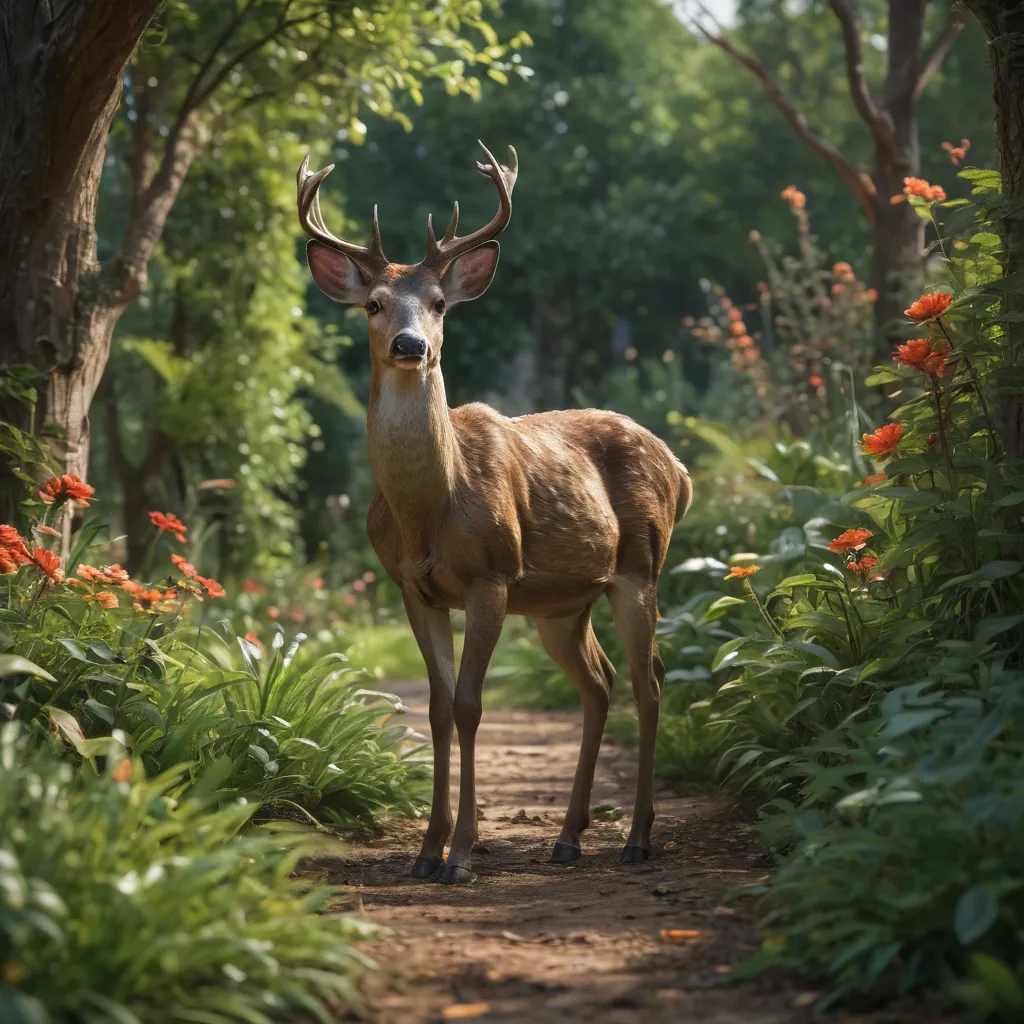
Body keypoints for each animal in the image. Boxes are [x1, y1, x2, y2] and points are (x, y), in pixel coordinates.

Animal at [297, 141, 691, 885]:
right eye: (374, 303)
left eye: (439, 303)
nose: (411, 346)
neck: (430, 512)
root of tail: (680, 470)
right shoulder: (412, 588)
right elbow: (434, 709)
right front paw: (425, 850)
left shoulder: (493, 576)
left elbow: (470, 705)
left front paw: (459, 855)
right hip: (562, 603)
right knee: (600, 683)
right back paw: (567, 838)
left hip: (640, 566)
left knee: (649, 680)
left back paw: (637, 838)